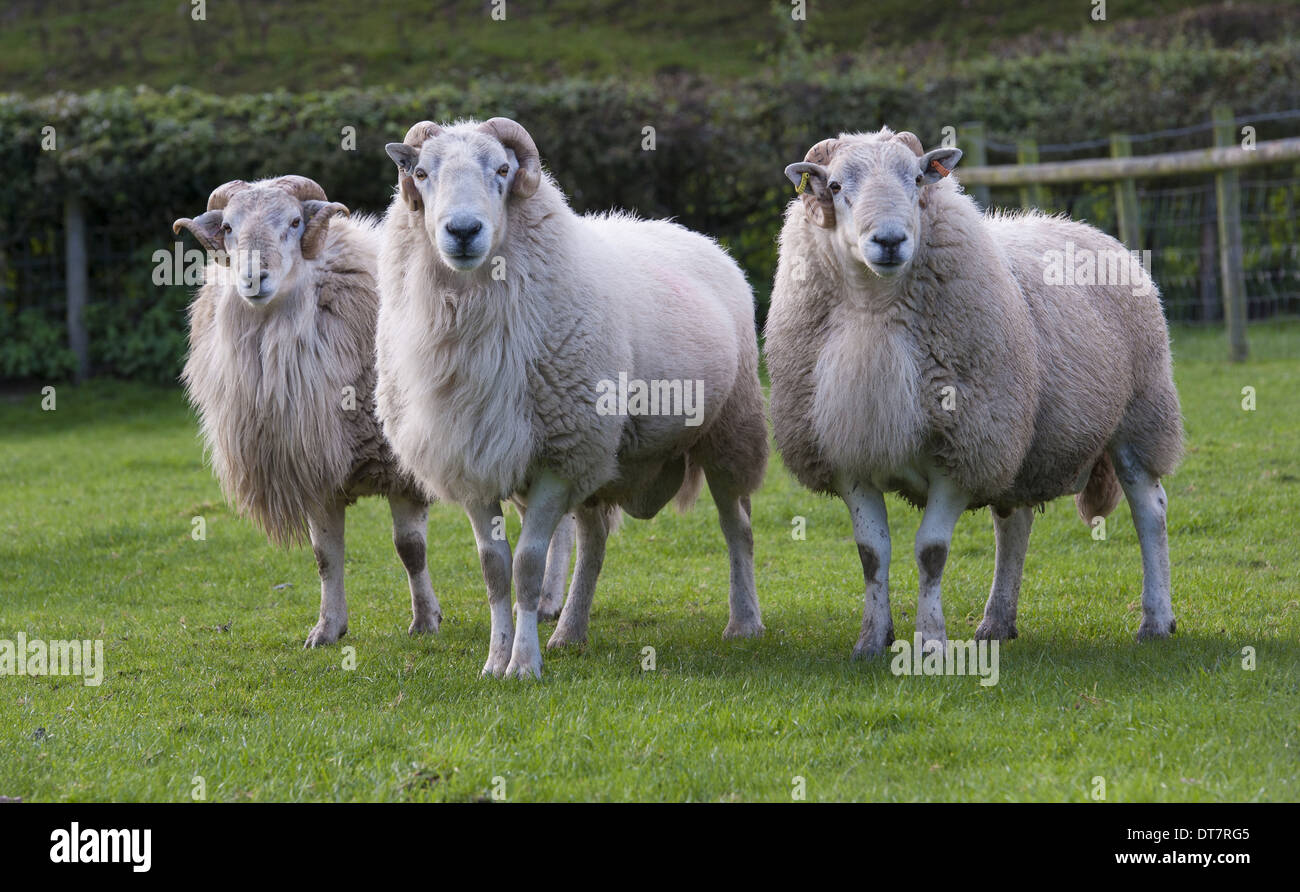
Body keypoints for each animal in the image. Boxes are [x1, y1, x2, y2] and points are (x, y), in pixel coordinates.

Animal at [172, 175, 444, 647]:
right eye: (227, 227)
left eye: (295, 222)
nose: (253, 277)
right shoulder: (316, 470)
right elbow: (325, 557)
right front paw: (328, 627)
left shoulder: (403, 472)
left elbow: (411, 550)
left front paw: (425, 621)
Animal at [376, 118, 769, 679]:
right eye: (423, 173)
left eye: (502, 169)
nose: (463, 231)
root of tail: (688, 232)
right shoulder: (474, 463)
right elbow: (494, 568)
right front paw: (495, 660)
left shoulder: (557, 460)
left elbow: (527, 565)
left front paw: (523, 664)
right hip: (601, 453)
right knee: (594, 542)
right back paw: (570, 631)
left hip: (727, 431)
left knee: (737, 528)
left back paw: (744, 622)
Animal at [766, 127, 1184, 658]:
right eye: (836, 186)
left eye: (917, 178)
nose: (889, 240)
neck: (874, 311)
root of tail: (1087, 229)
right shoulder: (850, 455)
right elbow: (871, 554)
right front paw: (871, 641)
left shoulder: (962, 450)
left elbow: (931, 552)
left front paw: (930, 642)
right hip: (1021, 438)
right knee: (1014, 525)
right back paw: (997, 622)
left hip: (1137, 415)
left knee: (1150, 511)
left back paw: (1156, 619)